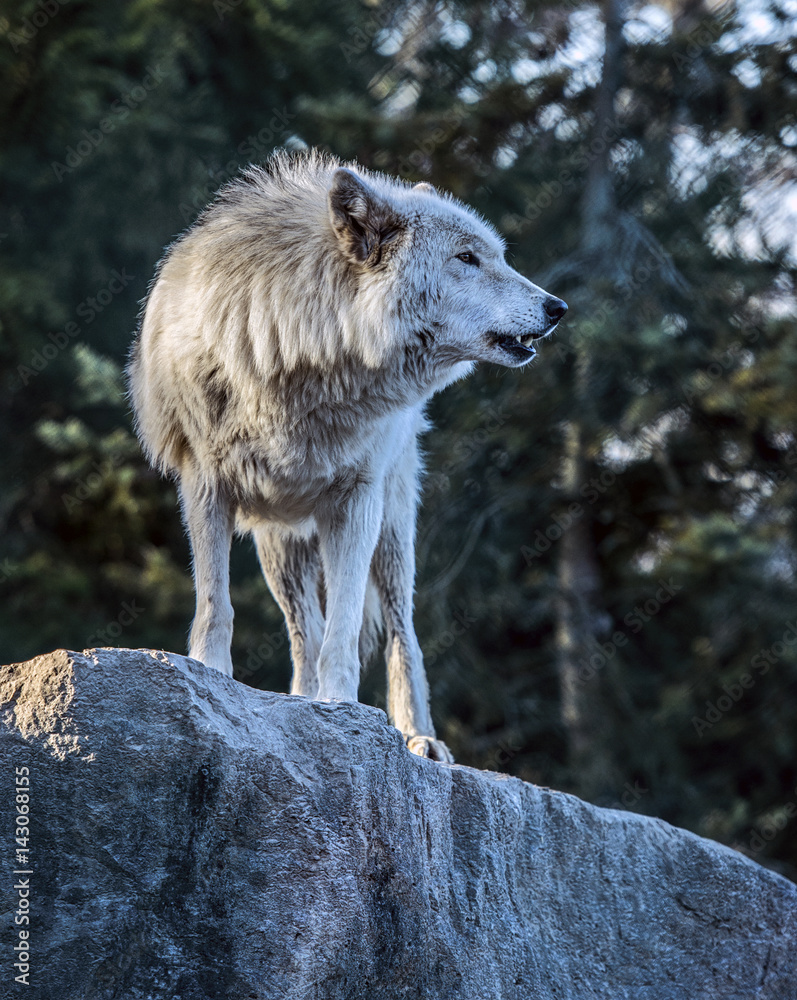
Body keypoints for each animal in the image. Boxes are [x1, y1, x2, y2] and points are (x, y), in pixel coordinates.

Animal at [127, 150, 566, 762]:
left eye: (498, 257)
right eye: (467, 258)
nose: (559, 307)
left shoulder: (357, 501)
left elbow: (346, 630)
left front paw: (340, 710)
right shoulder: (204, 486)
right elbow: (217, 603)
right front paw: (210, 676)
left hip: (392, 525)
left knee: (401, 632)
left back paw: (419, 736)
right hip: (280, 548)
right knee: (302, 632)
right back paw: (300, 697)